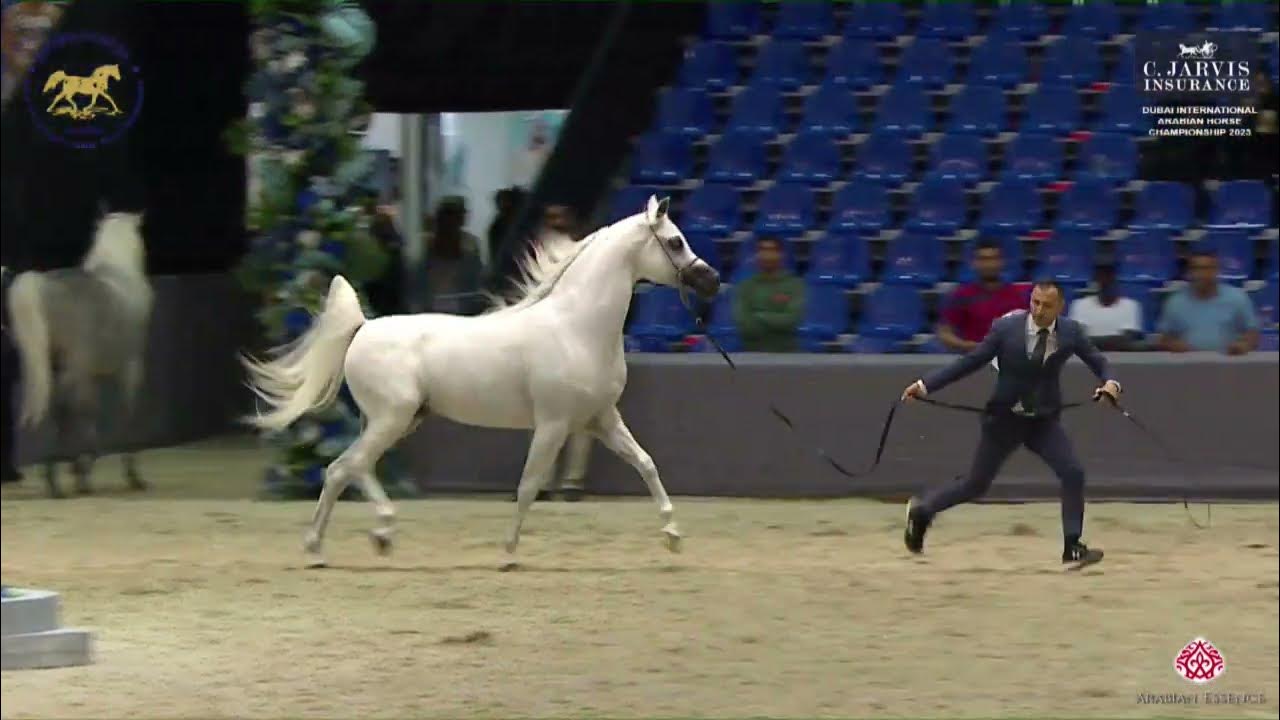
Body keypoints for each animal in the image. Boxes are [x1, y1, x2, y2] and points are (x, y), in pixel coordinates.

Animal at [8, 212, 153, 498]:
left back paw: (55, 478)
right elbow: (124, 414)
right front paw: (131, 476)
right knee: (63, 409)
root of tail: (41, 284)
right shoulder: (131, 367)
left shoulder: (92, 374)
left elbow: (90, 412)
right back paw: (56, 483)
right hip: (73, 367)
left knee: (55, 408)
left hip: (48, 366)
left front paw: (81, 471)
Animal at [242, 195, 720, 567]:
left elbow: (646, 464)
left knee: (342, 470)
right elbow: (527, 486)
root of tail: (362, 328)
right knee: (349, 467)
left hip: (397, 420)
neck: (576, 327)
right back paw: (375, 535)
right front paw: (508, 552)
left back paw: (324, 547)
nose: (712, 280)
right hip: (392, 419)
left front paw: (673, 536)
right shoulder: (553, 425)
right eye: (675, 241)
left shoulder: (599, 420)